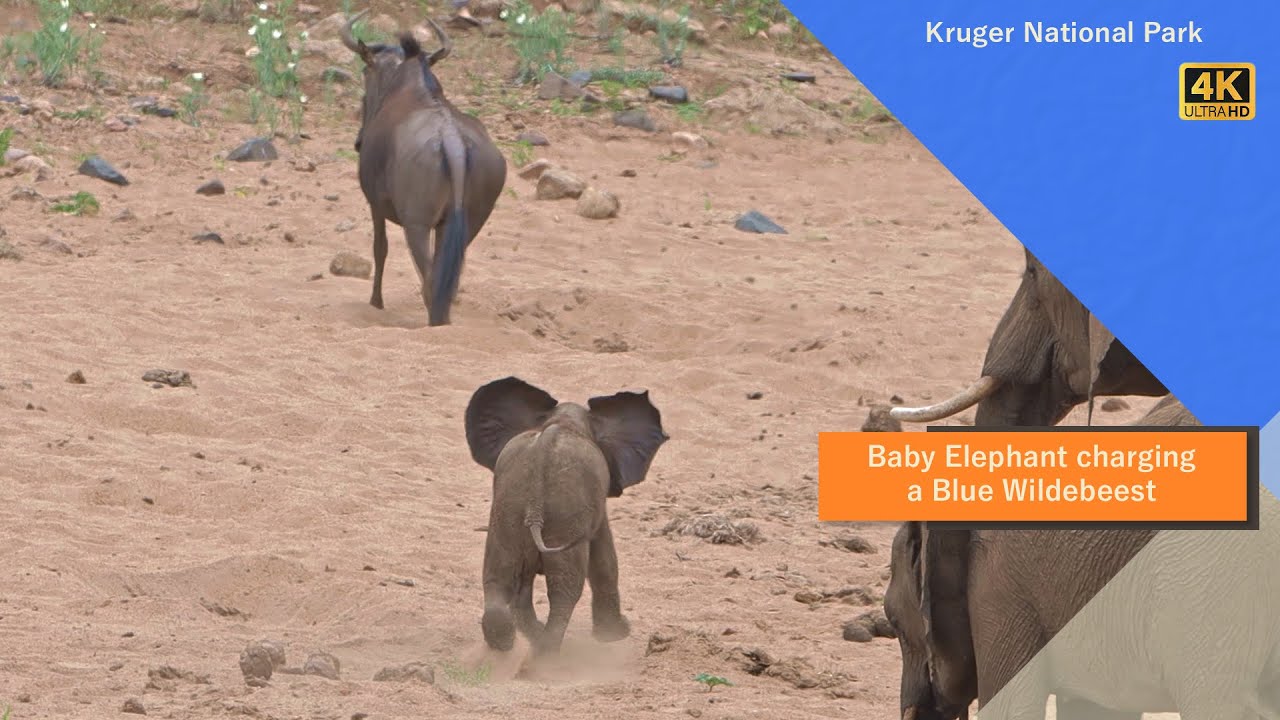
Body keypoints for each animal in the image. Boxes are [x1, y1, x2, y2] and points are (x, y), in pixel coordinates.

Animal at [463, 376, 669, 657]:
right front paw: (616, 635)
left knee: (498, 579)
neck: (562, 421)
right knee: (564, 592)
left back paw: (509, 644)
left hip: (509, 520)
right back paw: (544, 657)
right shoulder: (595, 502)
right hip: (563, 522)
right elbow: (604, 560)